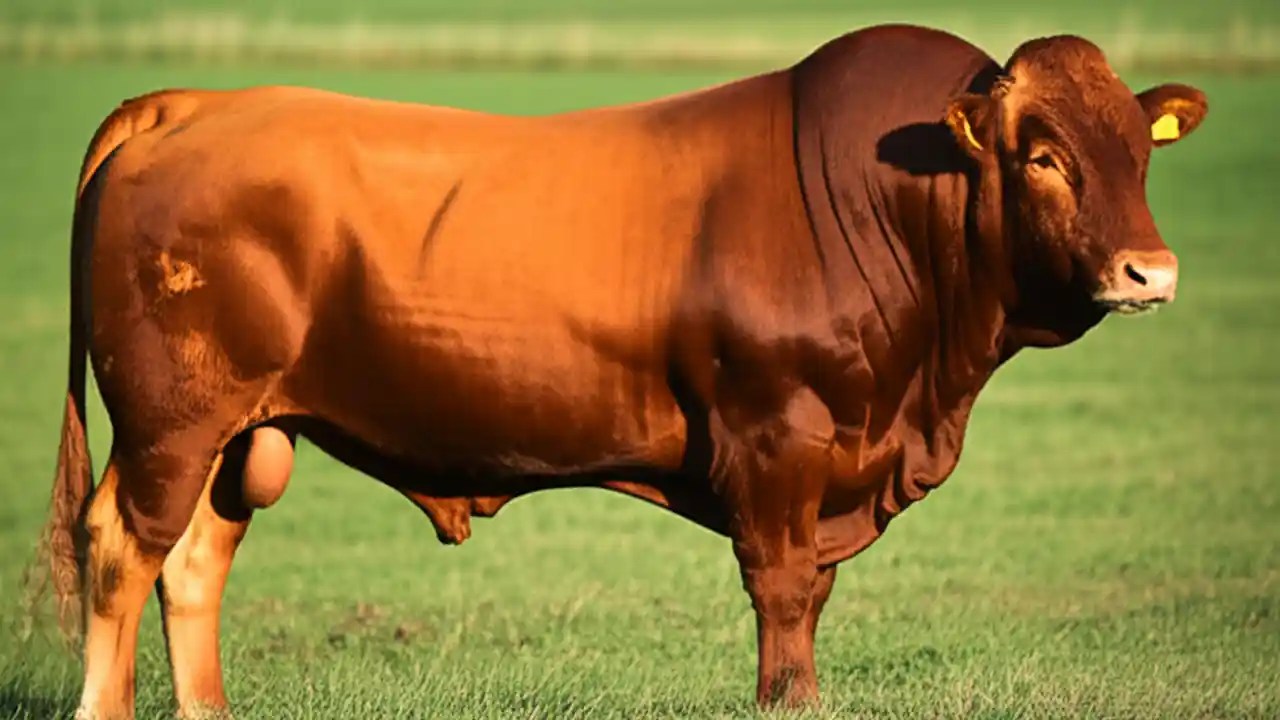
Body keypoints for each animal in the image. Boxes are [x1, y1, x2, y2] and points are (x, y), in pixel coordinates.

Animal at [41, 23, 1206, 719]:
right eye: (1043, 155)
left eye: (1138, 152)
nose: (1150, 271)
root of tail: (192, 102)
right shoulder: (777, 436)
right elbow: (784, 594)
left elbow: (814, 596)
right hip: (172, 420)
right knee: (122, 548)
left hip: (236, 430)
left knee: (194, 559)